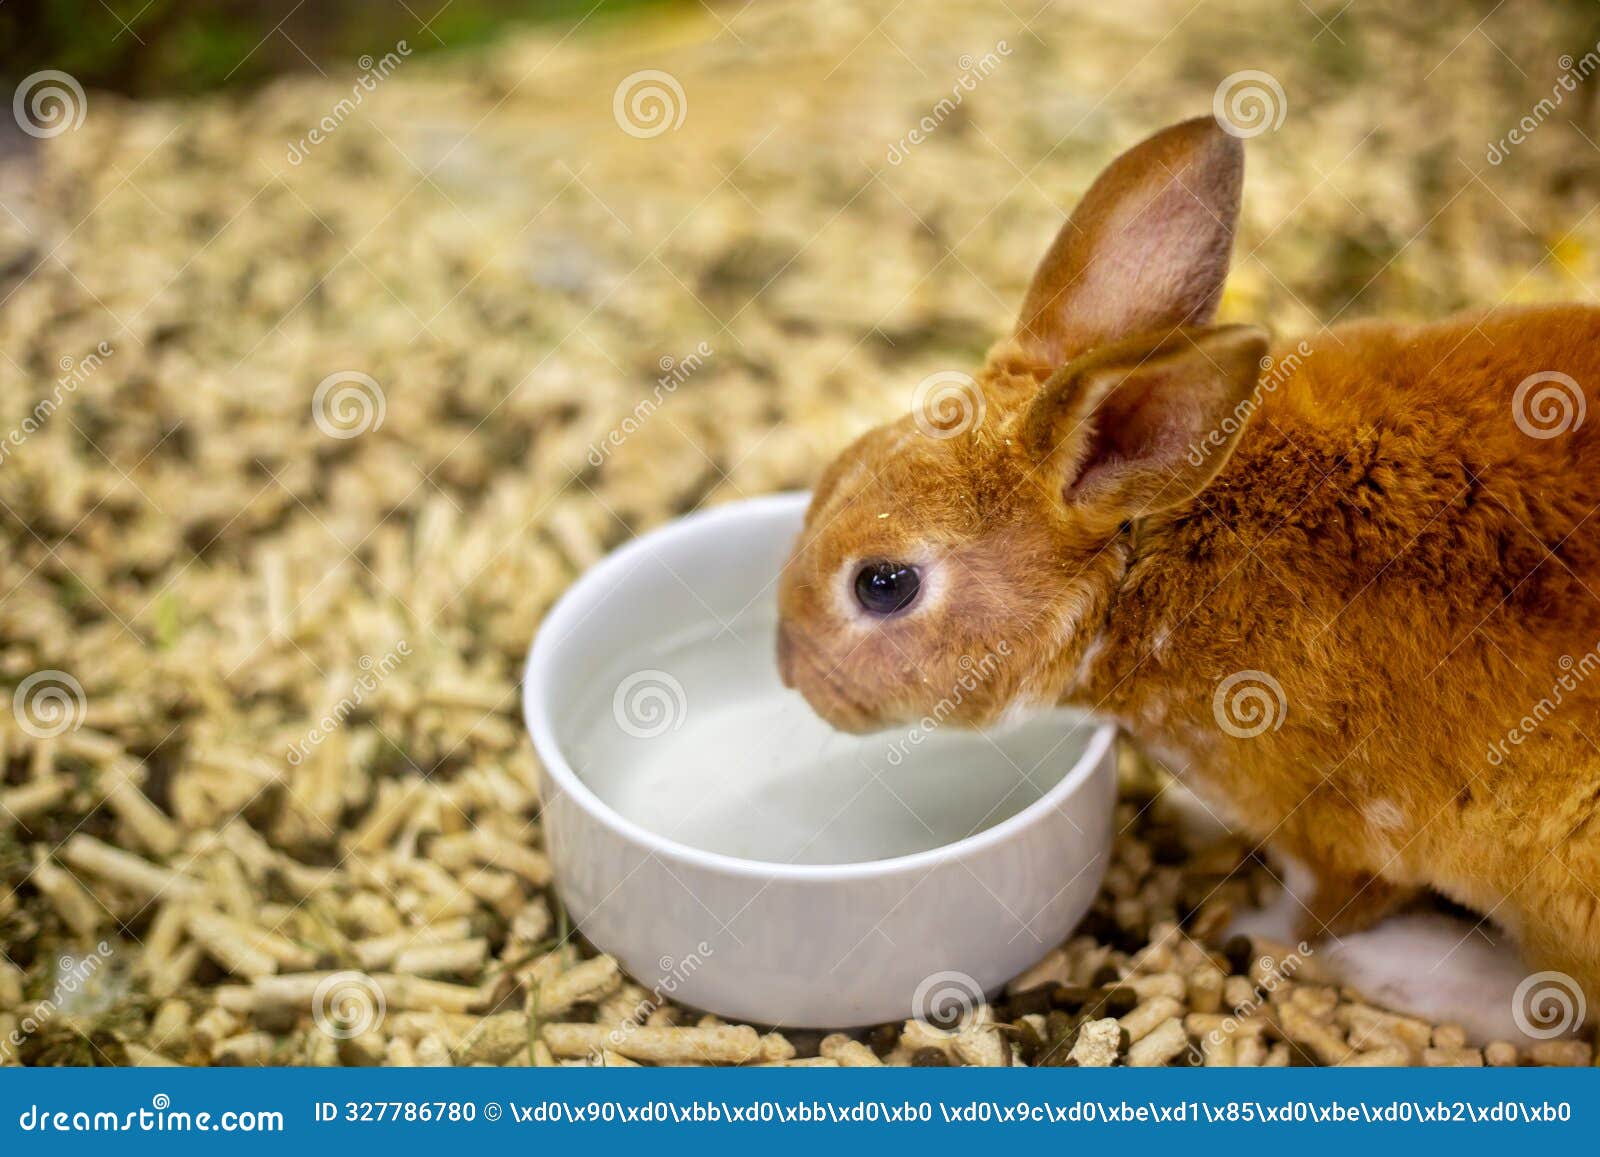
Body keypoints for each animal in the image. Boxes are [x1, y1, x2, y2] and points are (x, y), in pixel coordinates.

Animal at [775, 114, 1600, 1033]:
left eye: (883, 584)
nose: (789, 668)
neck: (1140, 566)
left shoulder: (1332, 824)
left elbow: (1319, 904)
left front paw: (1255, 924)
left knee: (1558, 1003)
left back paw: (1403, 972)